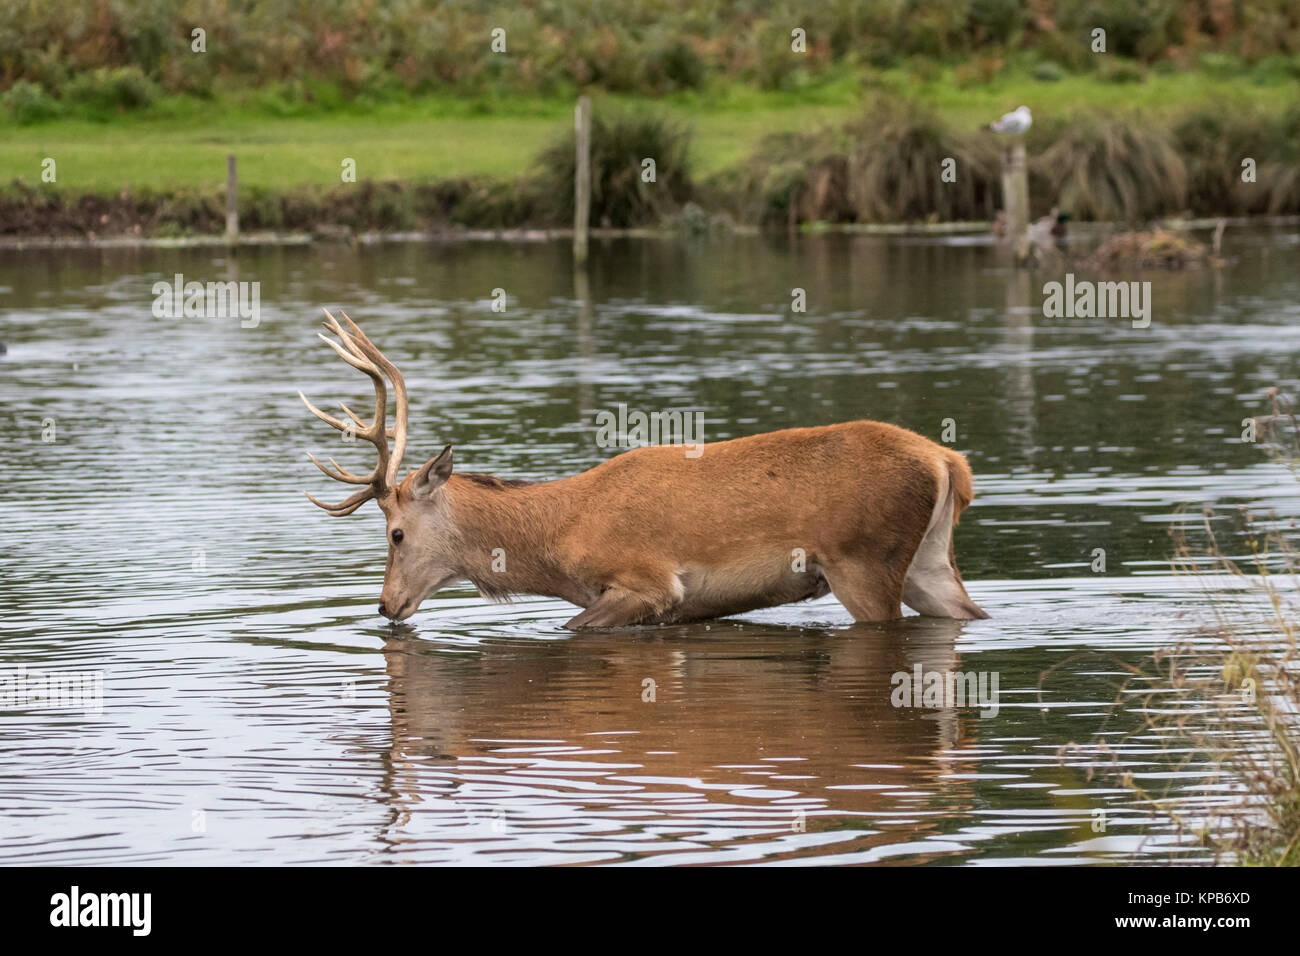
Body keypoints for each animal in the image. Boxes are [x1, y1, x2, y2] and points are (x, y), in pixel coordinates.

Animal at [299, 310, 988, 629]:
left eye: (394, 533)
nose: (385, 605)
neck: (557, 541)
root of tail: (949, 461)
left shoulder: (648, 581)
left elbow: (573, 629)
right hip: (928, 559)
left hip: (862, 559)